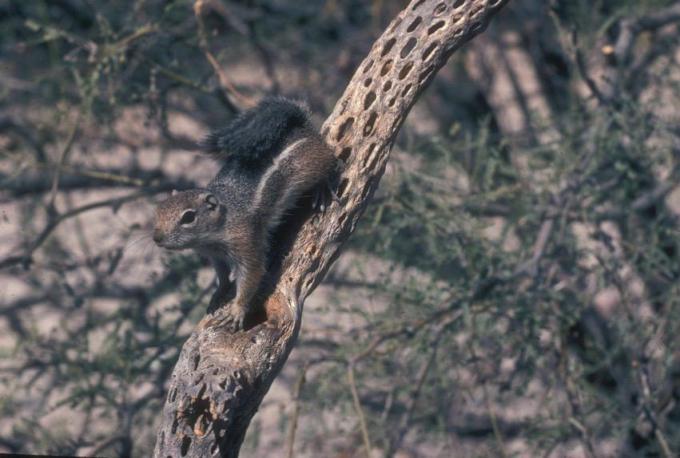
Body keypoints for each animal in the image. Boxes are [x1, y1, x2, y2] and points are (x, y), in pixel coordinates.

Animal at [153, 97, 336, 330]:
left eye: (188, 217)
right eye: (158, 210)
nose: (157, 238)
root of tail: (301, 127)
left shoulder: (245, 242)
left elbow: (251, 274)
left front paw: (237, 310)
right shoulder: (214, 255)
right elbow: (222, 276)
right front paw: (218, 294)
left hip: (312, 164)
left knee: (330, 165)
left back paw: (322, 190)